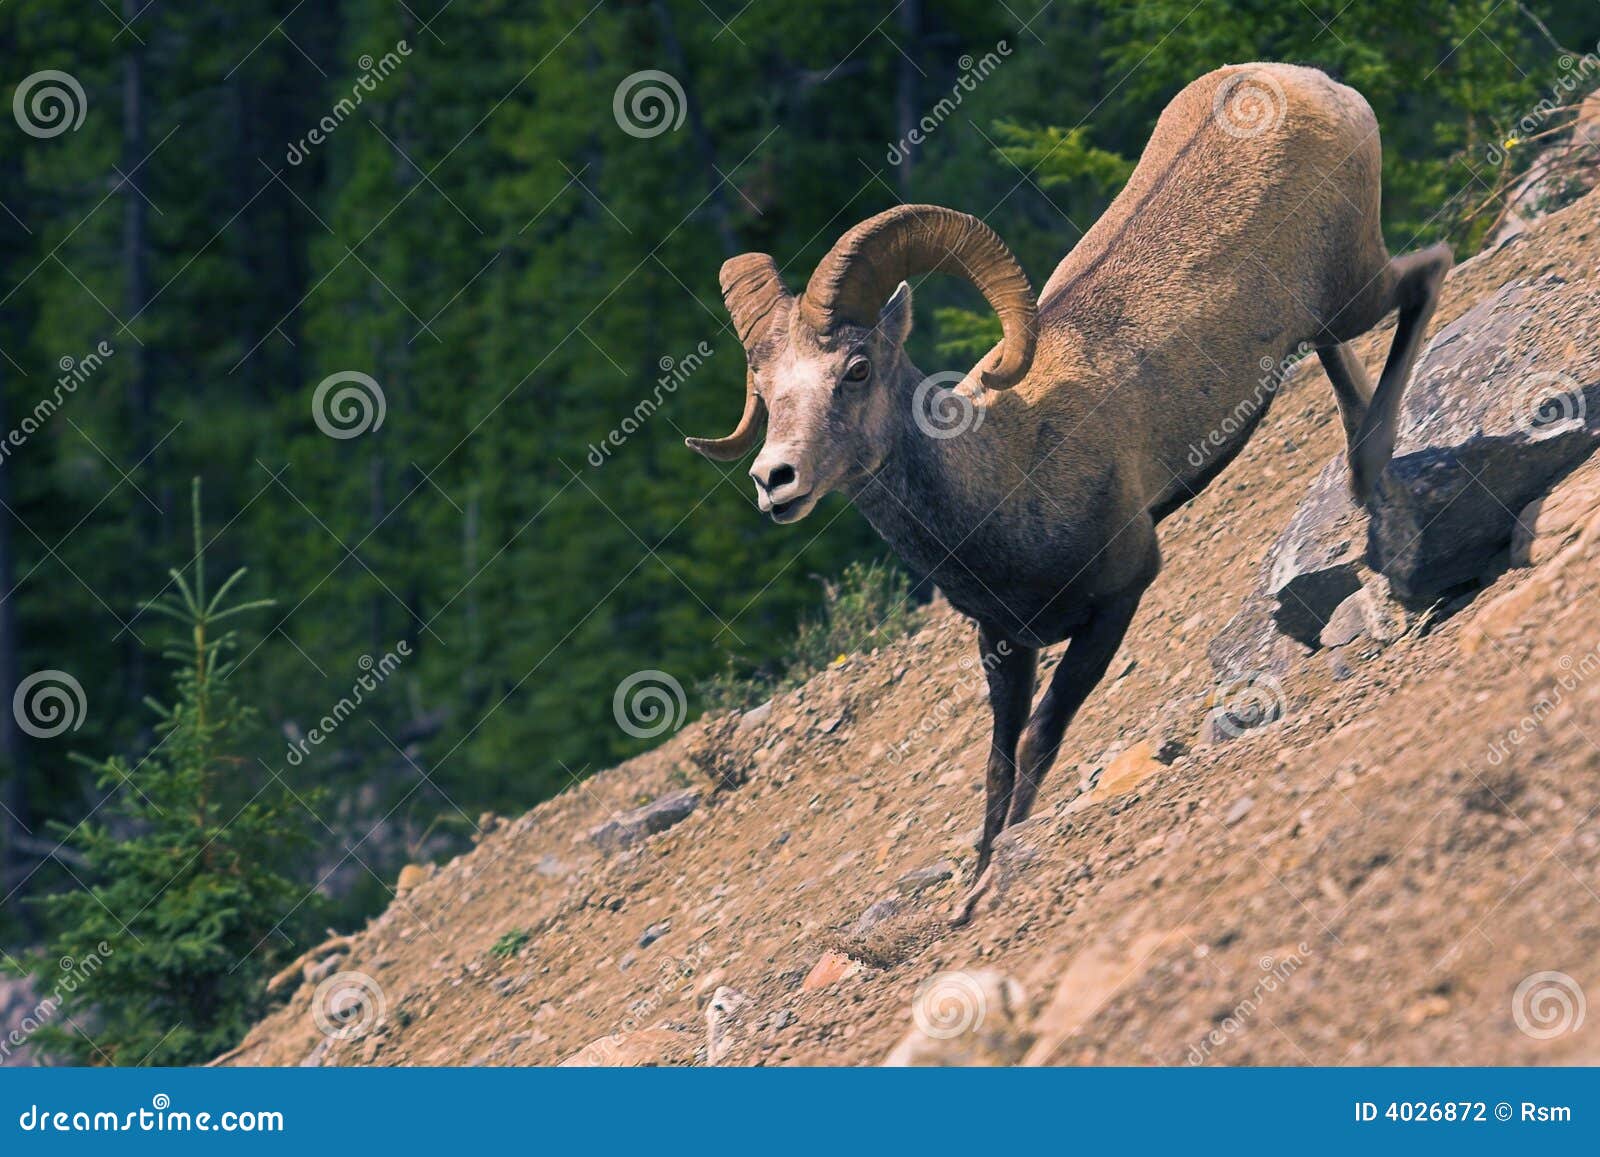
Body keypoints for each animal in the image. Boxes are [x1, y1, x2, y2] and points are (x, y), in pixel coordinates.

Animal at [688, 62, 1451, 923]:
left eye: (854, 370)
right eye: (765, 390)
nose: (773, 480)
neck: (1006, 471)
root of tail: (1306, 85)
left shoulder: (1117, 599)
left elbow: (1039, 741)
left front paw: (989, 884)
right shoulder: (1003, 641)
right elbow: (996, 764)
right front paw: (968, 894)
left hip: (1356, 286)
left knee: (1427, 274)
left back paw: (1375, 473)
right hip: (1323, 317)